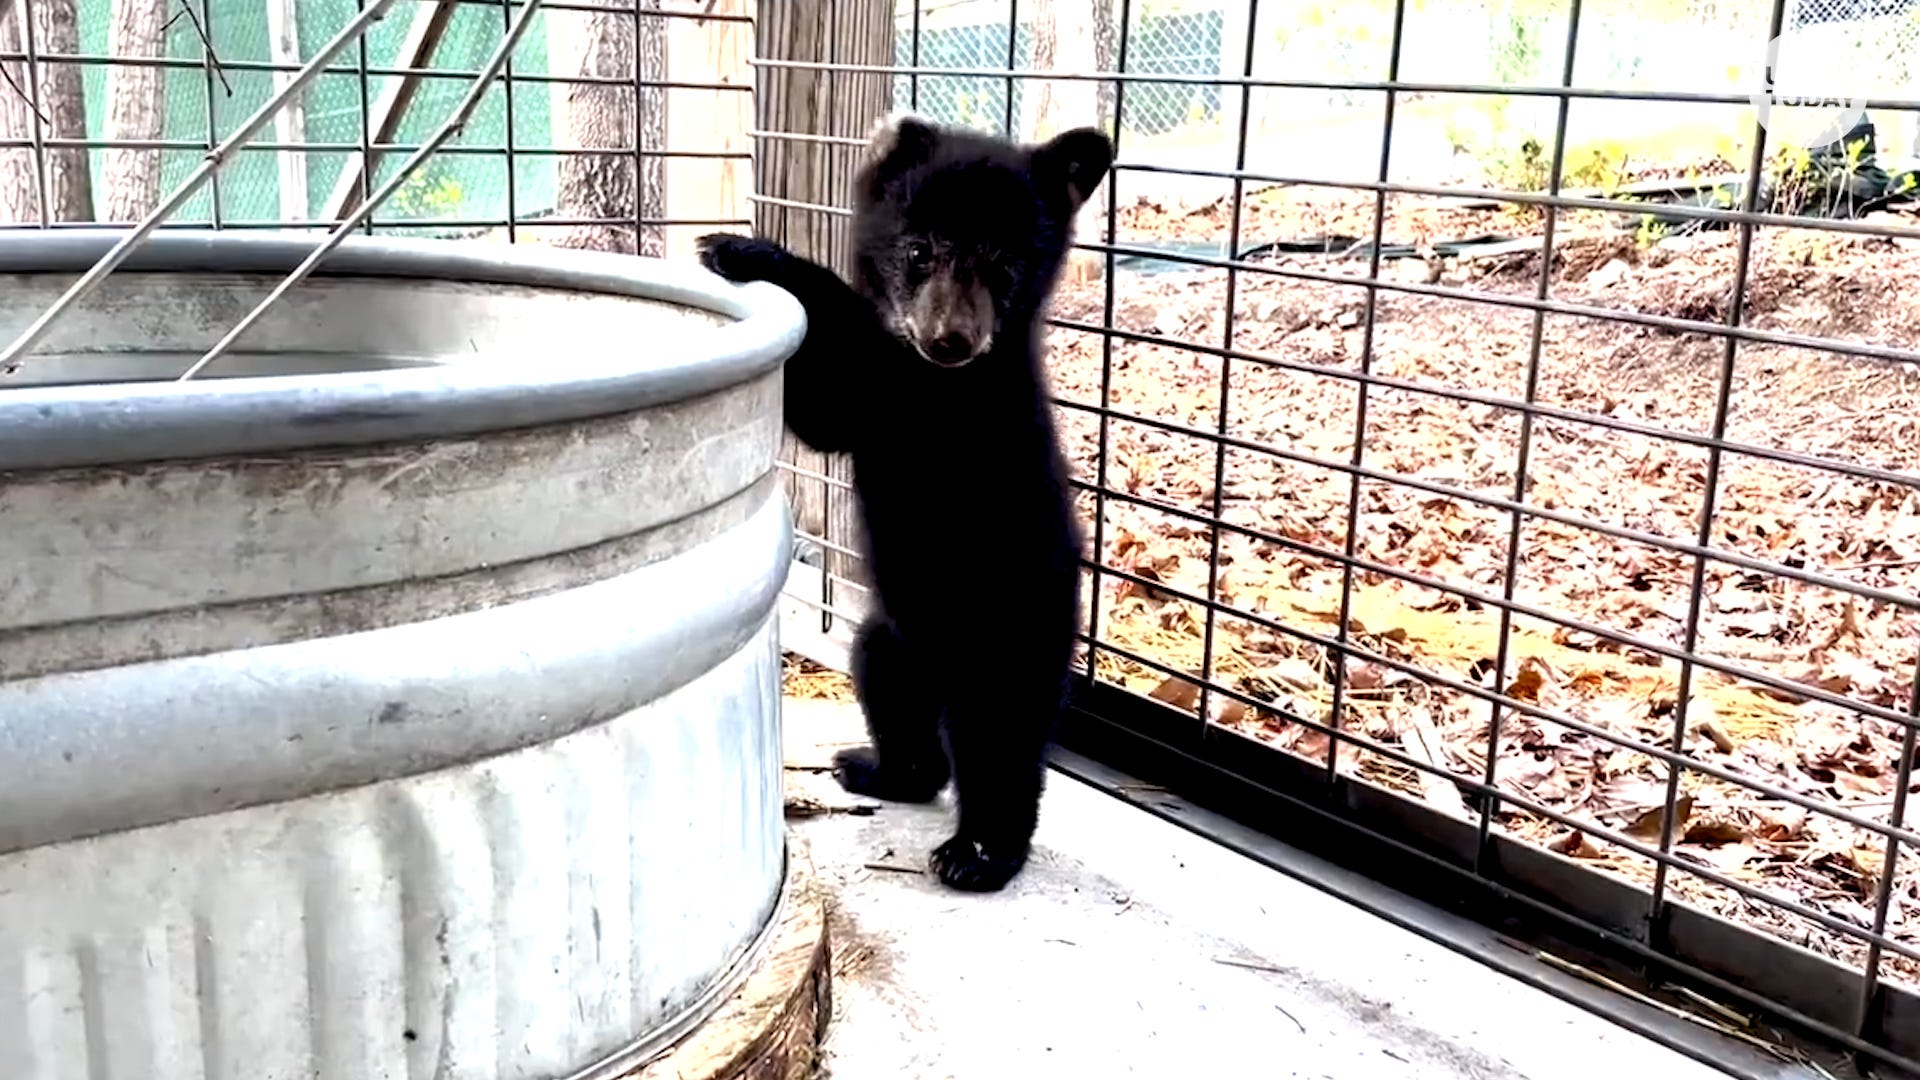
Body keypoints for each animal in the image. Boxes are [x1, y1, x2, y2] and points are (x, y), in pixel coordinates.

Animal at [697, 114, 1113, 892]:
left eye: (1006, 267)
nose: (951, 339)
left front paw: (745, 250)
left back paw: (979, 852)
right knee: (904, 720)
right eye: (920, 250)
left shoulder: (934, 407)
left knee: (999, 750)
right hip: (888, 643)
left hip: (1007, 646)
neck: (940, 378)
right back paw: (871, 768)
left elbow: (847, 374)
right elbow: (825, 407)